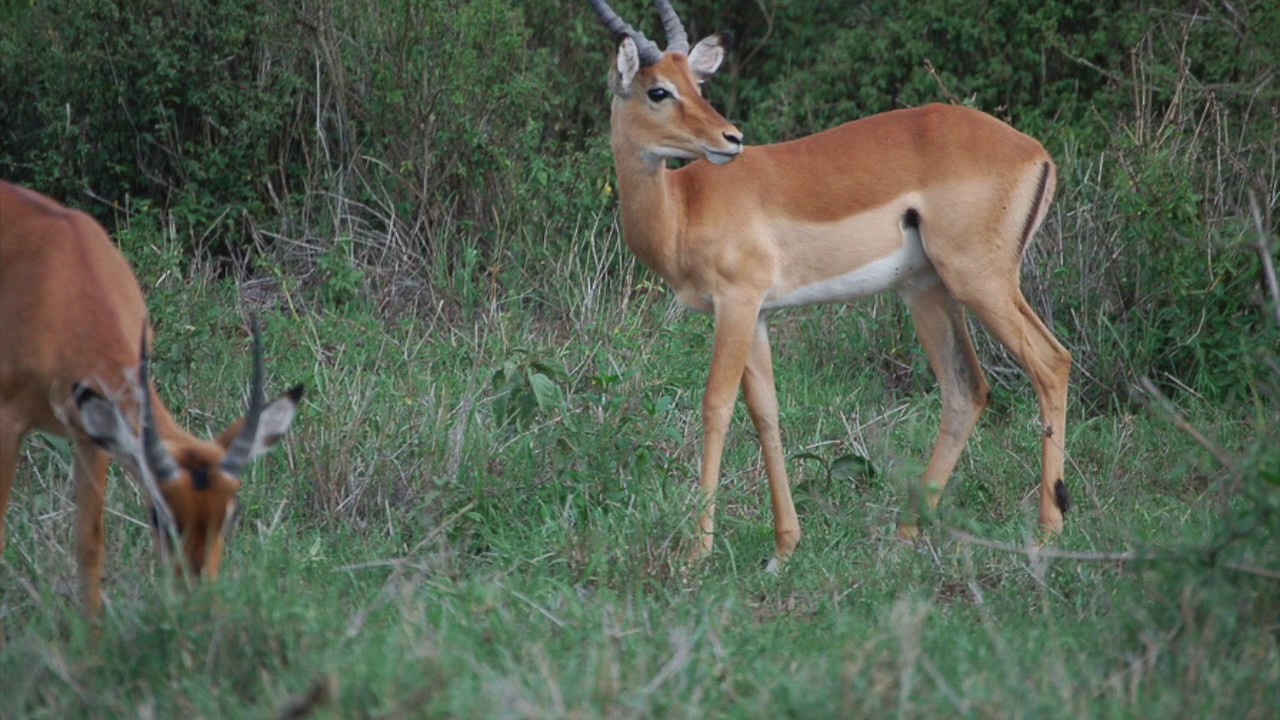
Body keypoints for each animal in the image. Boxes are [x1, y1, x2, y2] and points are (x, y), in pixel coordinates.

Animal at [0, 180, 303, 642]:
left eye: (231, 514)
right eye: (159, 516)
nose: (198, 601)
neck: (62, 287)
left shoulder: (91, 434)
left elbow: (90, 542)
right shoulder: (8, 420)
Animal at [588, 0, 1072, 570]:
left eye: (697, 84)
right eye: (660, 89)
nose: (731, 139)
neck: (682, 208)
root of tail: (1036, 152)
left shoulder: (736, 303)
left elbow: (716, 406)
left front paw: (697, 553)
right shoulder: (758, 315)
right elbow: (766, 413)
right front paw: (783, 549)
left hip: (980, 281)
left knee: (1051, 364)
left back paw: (1047, 532)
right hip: (927, 289)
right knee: (966, 390)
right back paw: (905, 535)